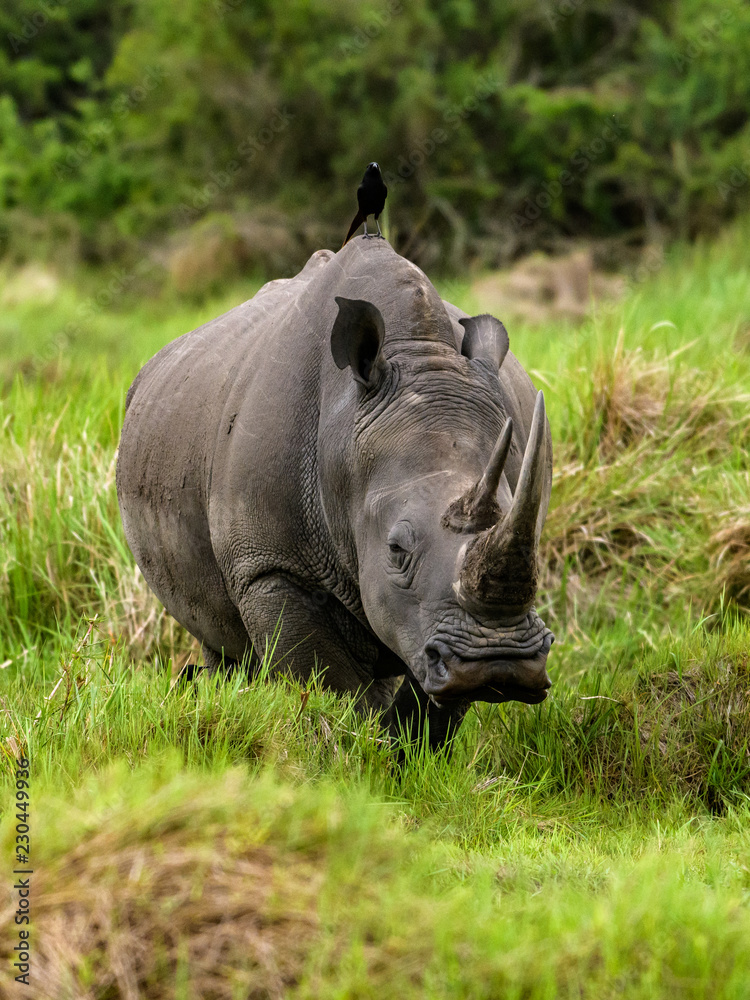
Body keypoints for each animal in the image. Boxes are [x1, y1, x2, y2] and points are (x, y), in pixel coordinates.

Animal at [117, 238, 554, 748]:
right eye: (396, 549)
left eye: (537, 543)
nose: (499, 662)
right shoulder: (269, 566)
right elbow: (332, 688)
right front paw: (351, 753)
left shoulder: (434, 620)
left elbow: (429, 710)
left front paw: (401, 758)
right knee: (220, 643)